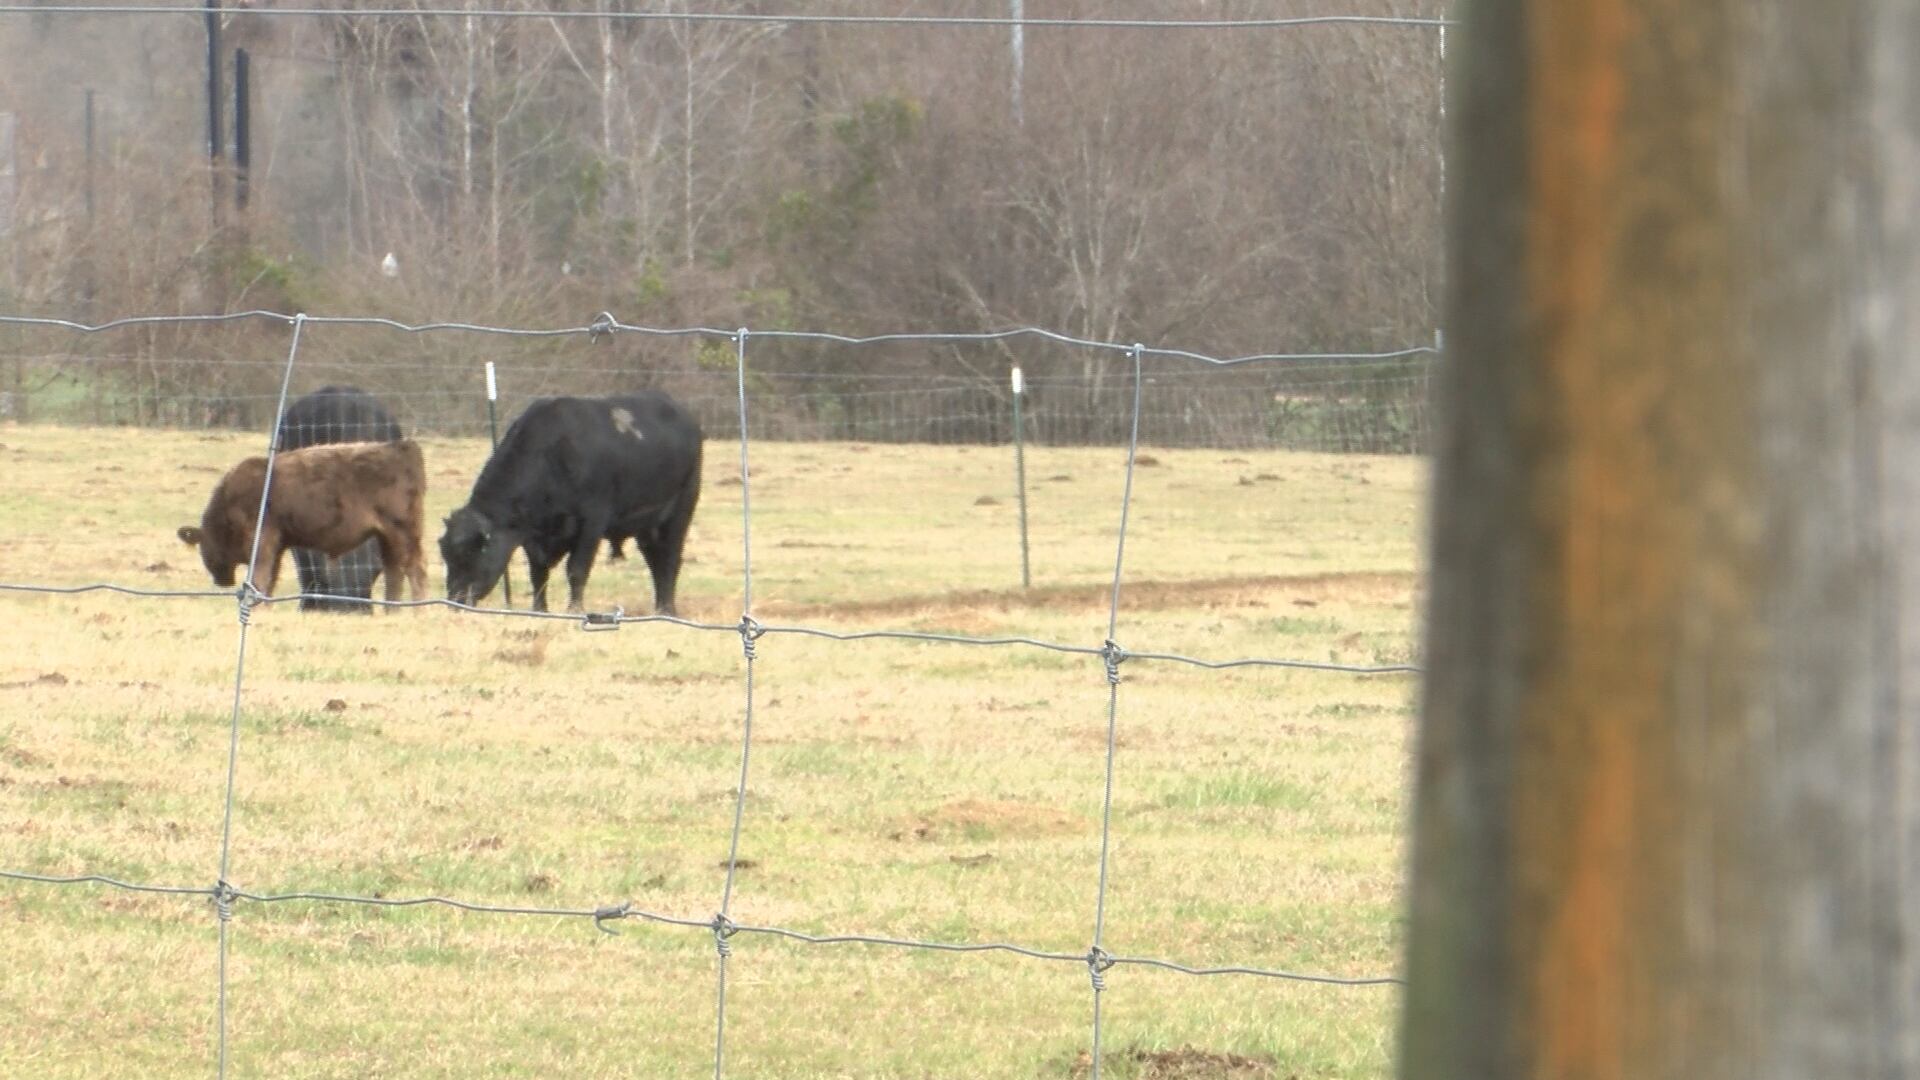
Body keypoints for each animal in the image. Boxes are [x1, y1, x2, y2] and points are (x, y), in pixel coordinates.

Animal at [177, 440, 430, 607]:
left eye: (204, 547)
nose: (221, 581)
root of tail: (401, 447)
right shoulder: (277, 544)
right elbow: (270, 578)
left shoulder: (262, 541)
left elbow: (260, 576)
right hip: (386, 537)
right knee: (394, 572)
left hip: (403, 532)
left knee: (415, 570)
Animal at [439, 393, 702, 615]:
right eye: (446, 555)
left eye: (468, 553)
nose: (454, 601)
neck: (552, 454)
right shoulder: (531, 535)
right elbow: (538, 574)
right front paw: (539, 610)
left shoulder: (592, 523)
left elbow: (576, 570)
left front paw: (574, 610)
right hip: (646, 526)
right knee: (655, 563)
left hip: (680, 512)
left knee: (670, 560)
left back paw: (667, 610)